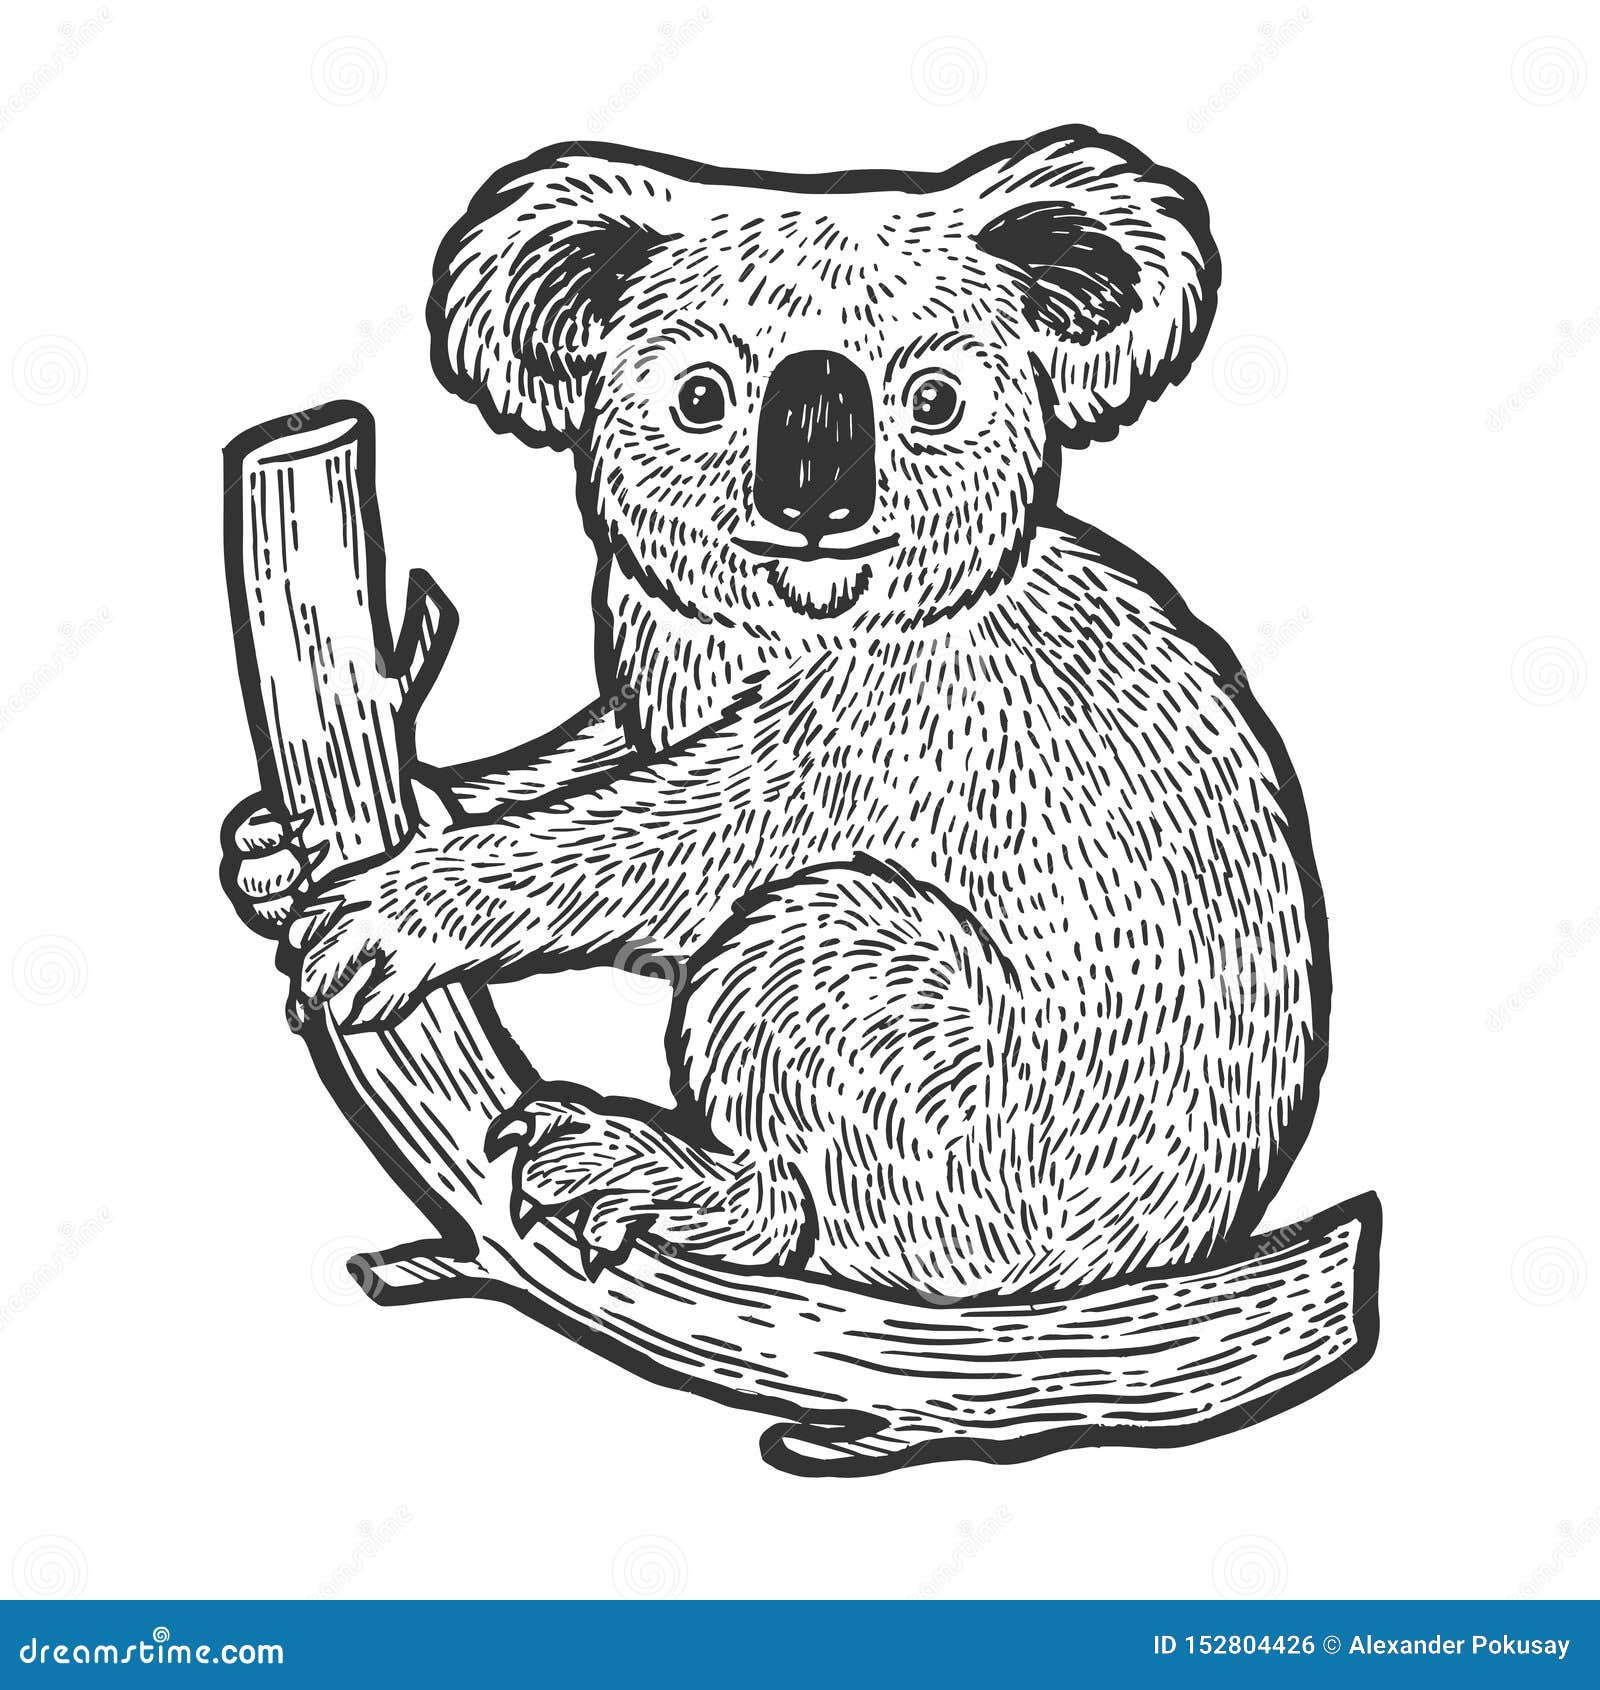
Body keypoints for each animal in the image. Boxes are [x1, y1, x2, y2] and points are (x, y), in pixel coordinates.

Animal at [221, 125, 1329, 1303]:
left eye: (933, 400)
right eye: (702, 396)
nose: (815, 494)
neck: (785, 627)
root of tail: (1153, 1253)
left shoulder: (891, 728)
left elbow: (672, 845)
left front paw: (389, 916)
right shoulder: (659, 679)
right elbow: (587, 759)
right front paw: (289, 846)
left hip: (951, 1113)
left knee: (805, 1047)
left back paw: (654, 1175)